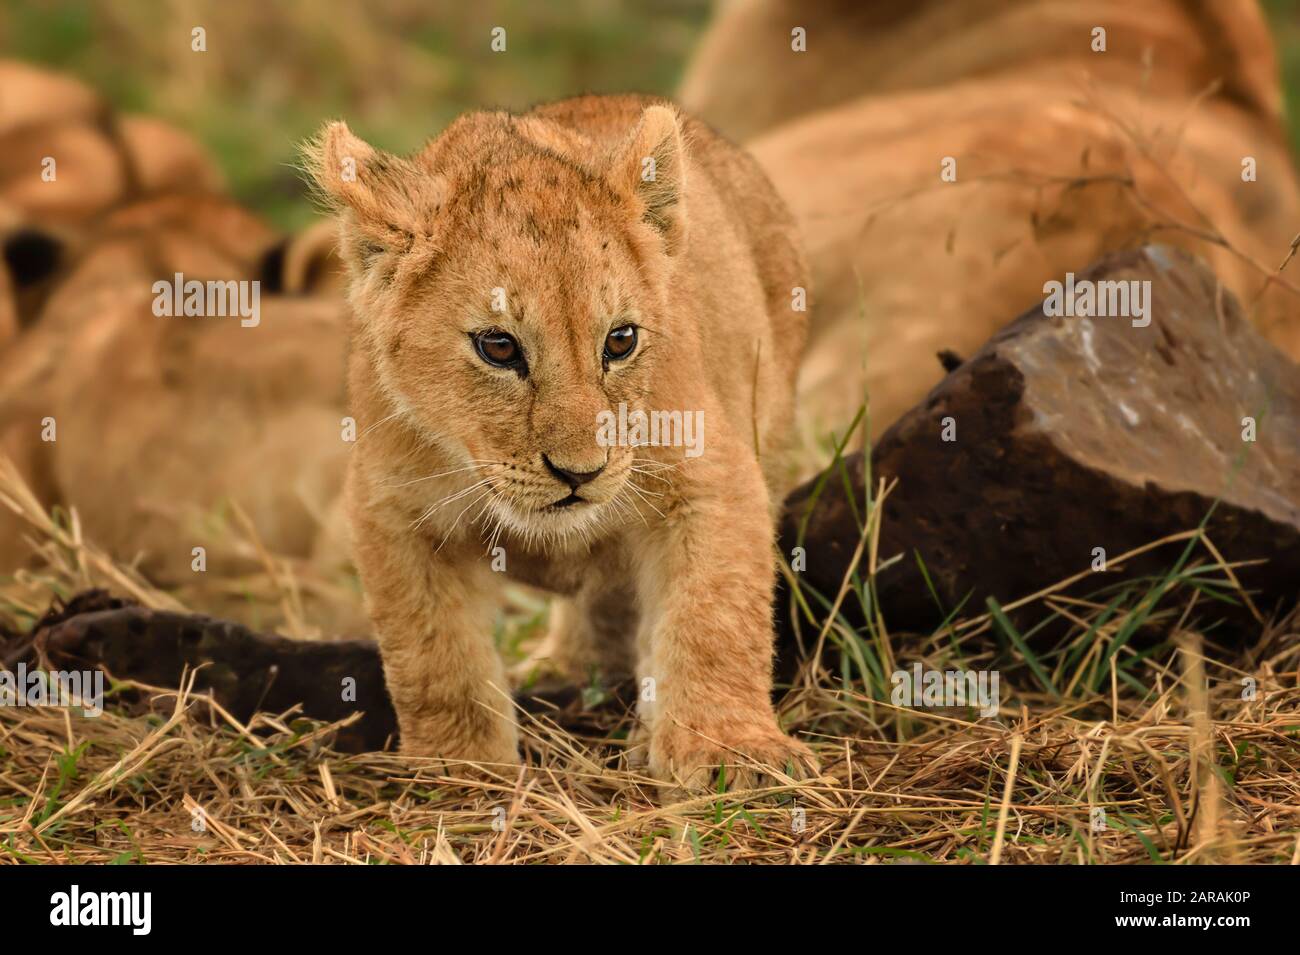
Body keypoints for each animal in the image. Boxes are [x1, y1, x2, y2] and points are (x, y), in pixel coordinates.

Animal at [304, 94, 815, 787]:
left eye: (620, 340)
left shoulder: (712, 475)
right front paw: (459, 765)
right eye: (498, 346)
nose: (581, 473)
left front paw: (732, 752)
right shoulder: (393, 508)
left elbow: (714, 616)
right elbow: (433, 655)